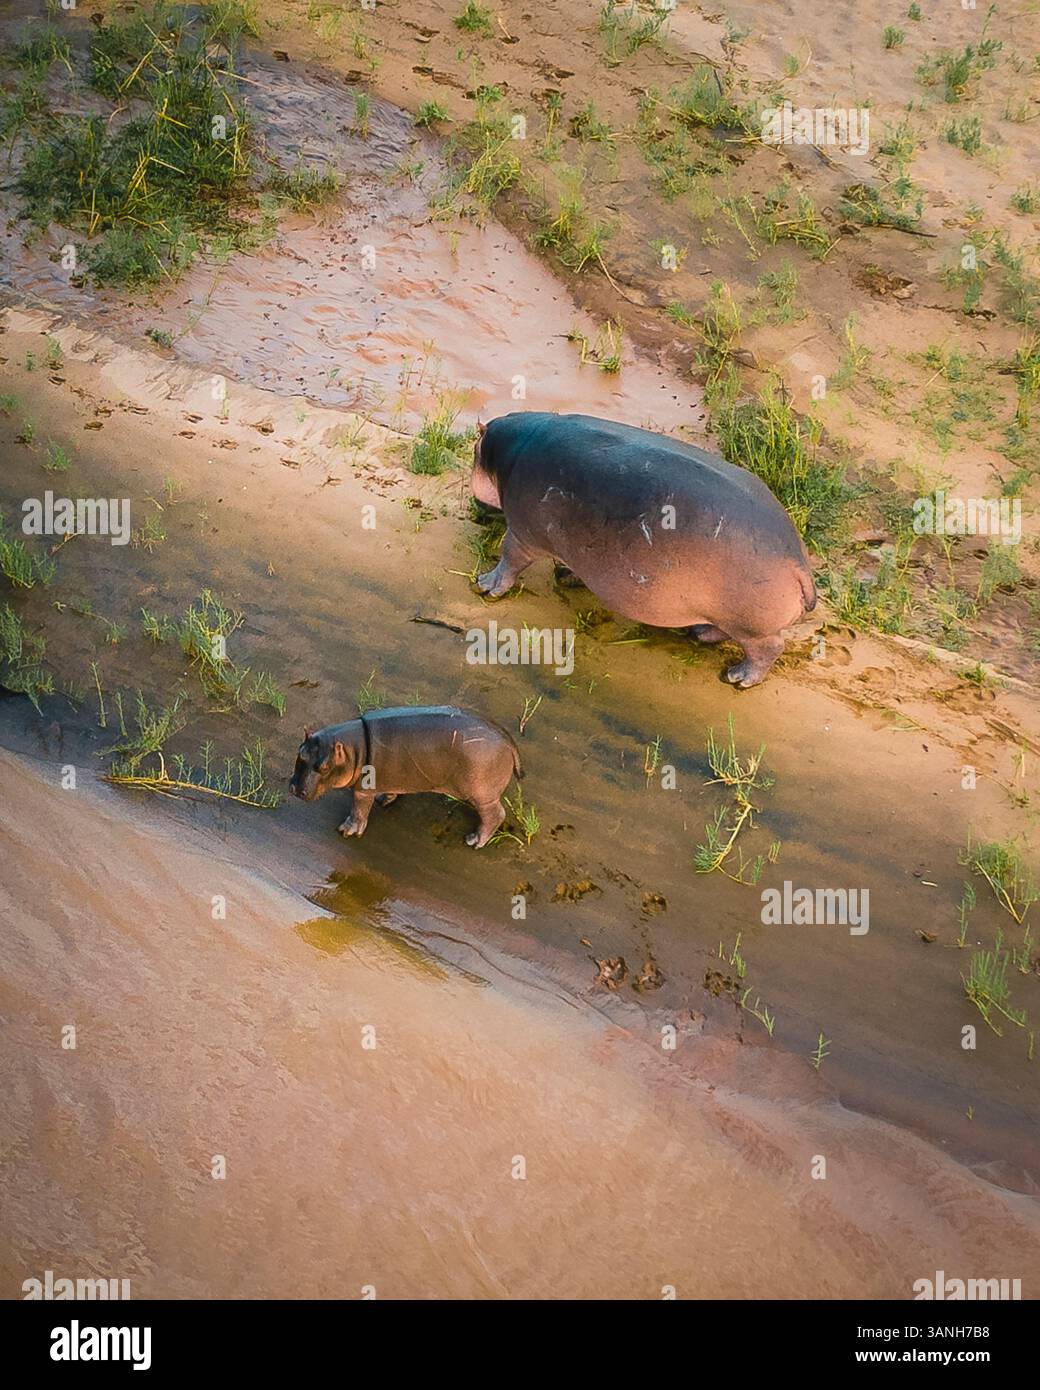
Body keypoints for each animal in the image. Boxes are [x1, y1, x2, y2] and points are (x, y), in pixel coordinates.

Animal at [290, 706, 521, 847]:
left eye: (324, 767)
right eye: (300, 753)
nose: (295, 788)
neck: (352, 749)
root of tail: (509, 741)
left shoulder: (363, 790)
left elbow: (358, 809)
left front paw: (347, 831)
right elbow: (391, 790)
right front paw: (384, 799)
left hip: (481, 794)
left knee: (495, 814)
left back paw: (474, 841)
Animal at [471, 412, 816, 687]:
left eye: (472, 449)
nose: (475, 513)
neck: (503, 455)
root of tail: (798, 561)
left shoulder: (522, 532)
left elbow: (509, 559)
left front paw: (484, 585)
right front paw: (565, 575)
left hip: (751, 624)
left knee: (768, 647)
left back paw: (737, 678)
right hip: (729, 615)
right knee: (727, 632)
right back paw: (700, 633)